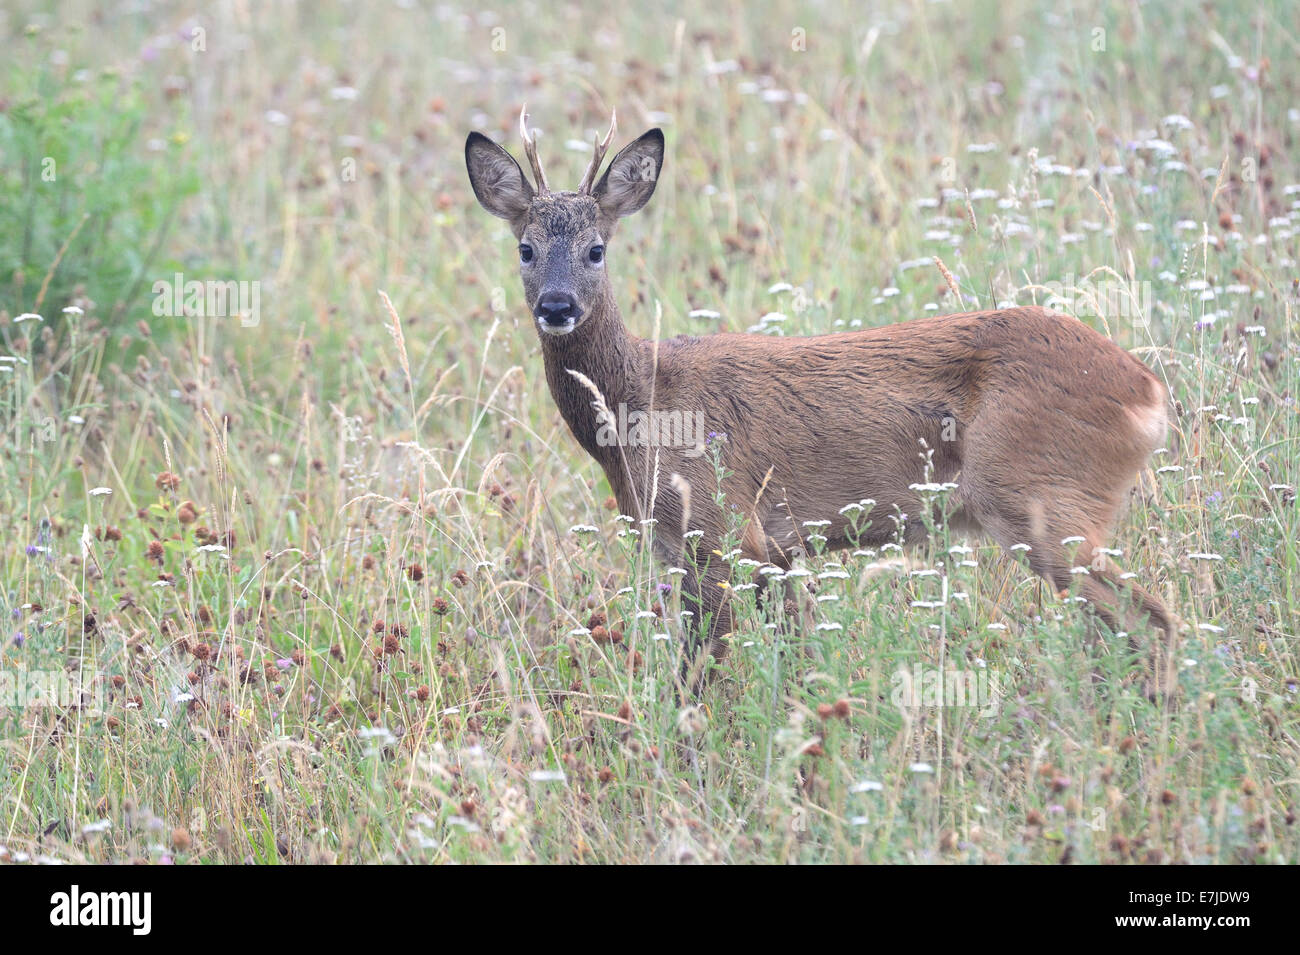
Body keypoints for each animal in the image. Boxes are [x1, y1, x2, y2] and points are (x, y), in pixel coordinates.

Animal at [465, 108, 1175, 686]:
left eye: (596, 249)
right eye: (525, 248)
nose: (557, 306)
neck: (642, 400)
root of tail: (1147, 390)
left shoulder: (720, 529)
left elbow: (700, 675)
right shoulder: (764, 554)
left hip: (1042, 498)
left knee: (1155, 621)